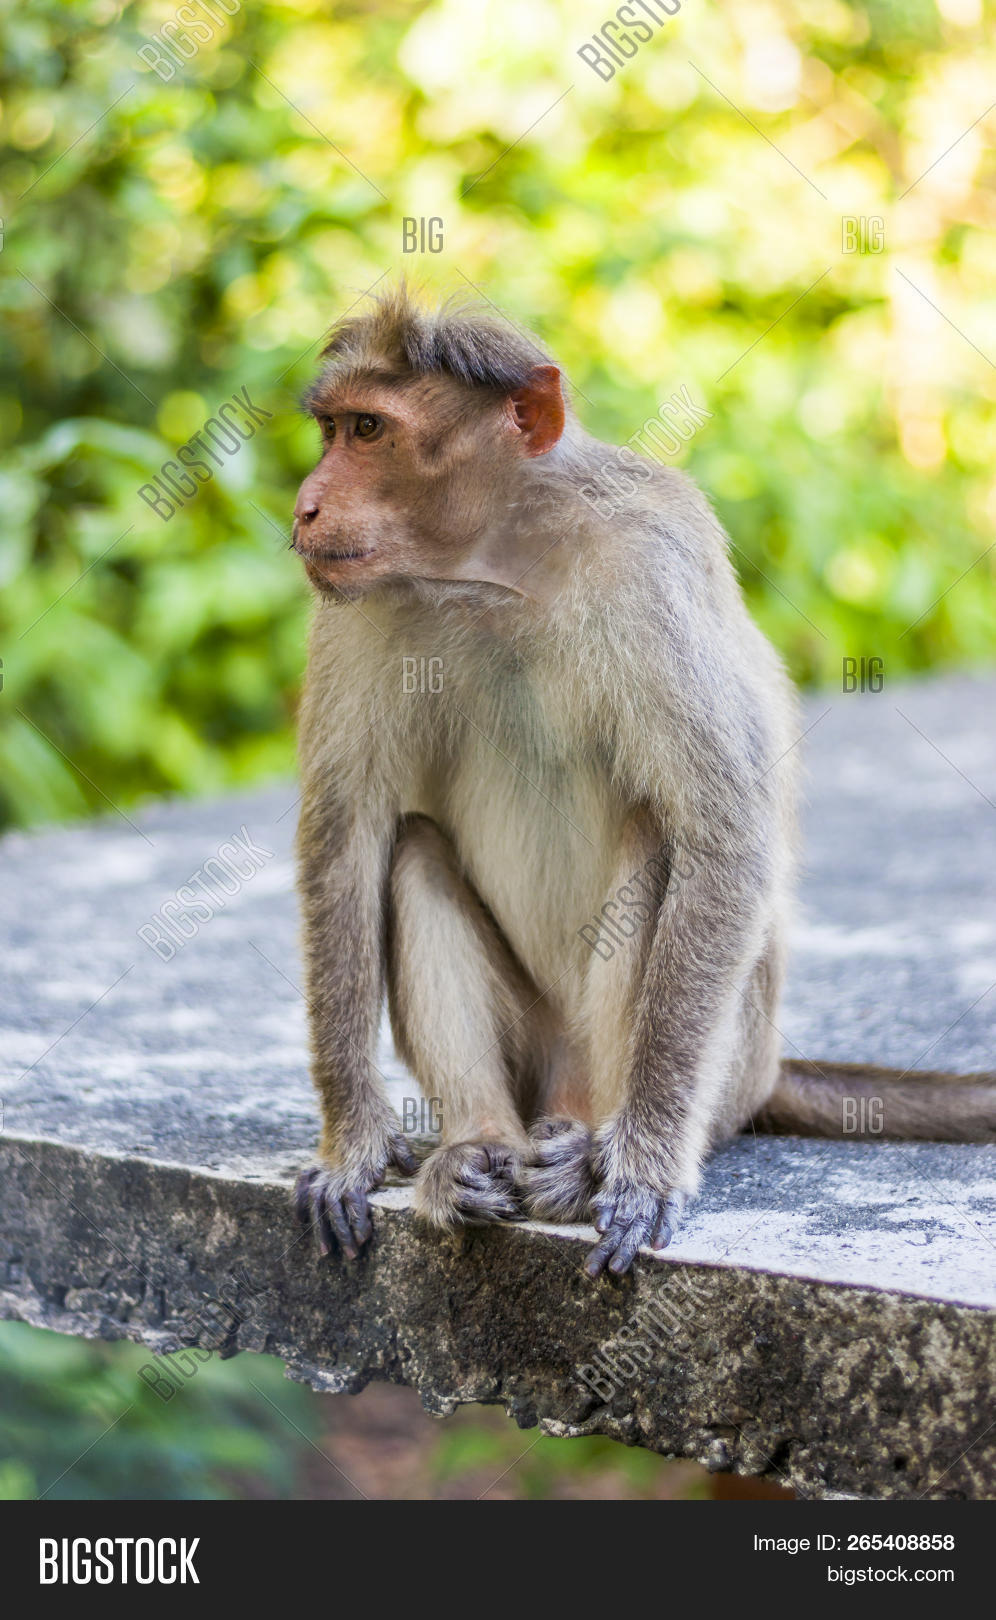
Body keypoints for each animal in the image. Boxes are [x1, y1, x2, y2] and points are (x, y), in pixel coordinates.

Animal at [290, 286, 996, 1279]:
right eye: (333, 429)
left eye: (368, 430)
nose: (308, 506)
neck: (497, 568)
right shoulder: (361, 605)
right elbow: (348, 835)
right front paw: (354, 1147)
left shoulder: (648, 562)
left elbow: (722, 830)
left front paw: (644, 1172)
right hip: (538, 1051)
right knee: (412, 852)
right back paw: (478, 1149)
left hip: (711, 1065)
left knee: (661, 840)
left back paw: (592, 1149)